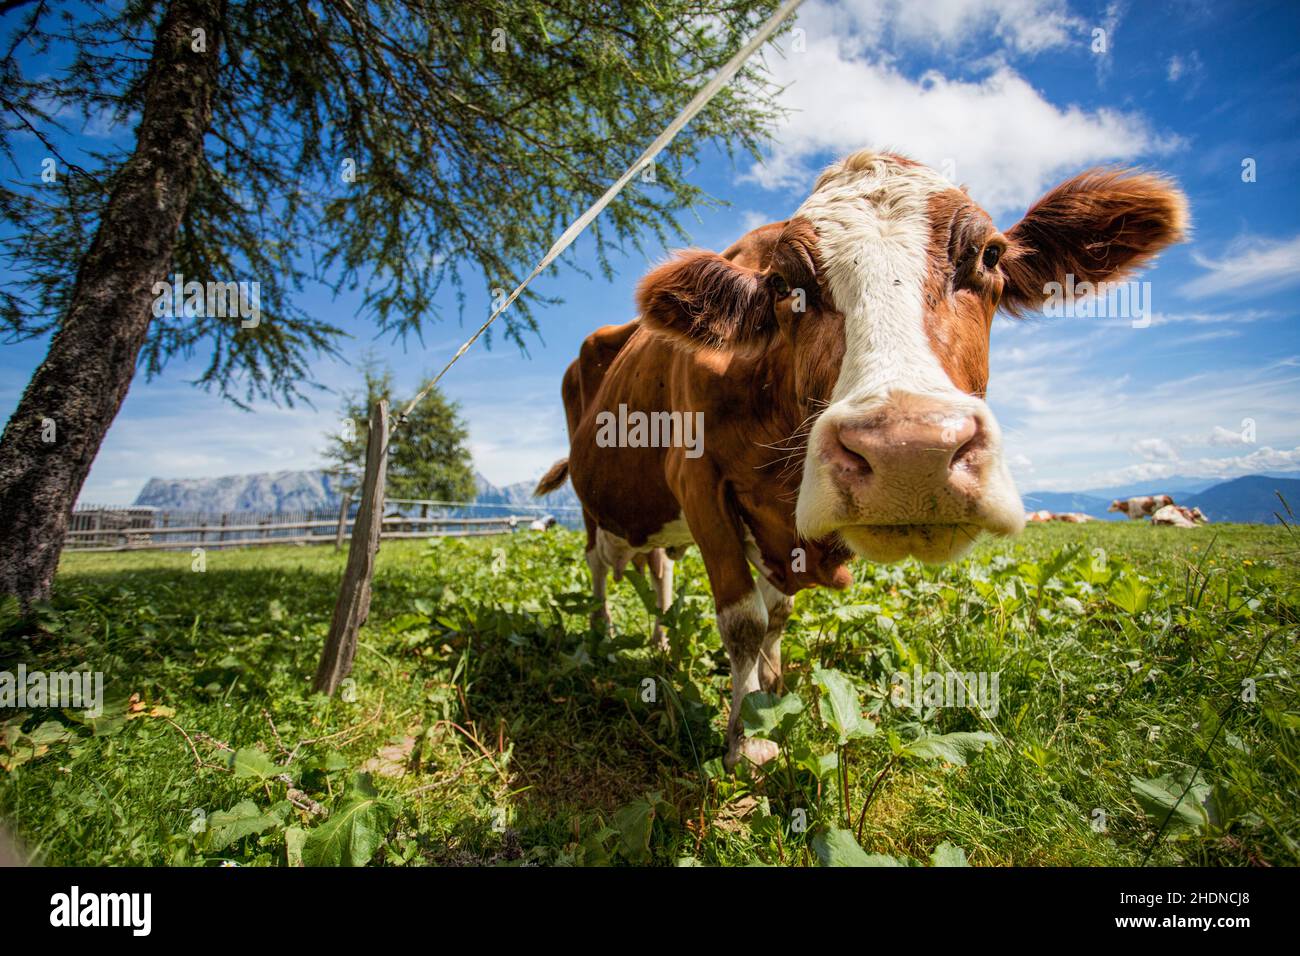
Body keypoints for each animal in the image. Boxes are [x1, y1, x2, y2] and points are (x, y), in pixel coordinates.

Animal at [536, 150, 1187, 770]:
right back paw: (602, 636)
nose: (910, 454)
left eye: (991, 255)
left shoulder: (775, 524)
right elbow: (744, 621)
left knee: (659, 568)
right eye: (783, 284)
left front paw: (771, 694)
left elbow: (776, 617)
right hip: (596, 506)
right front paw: (747, 742)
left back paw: (661, 643)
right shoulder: (698, 482)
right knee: (597, 565)